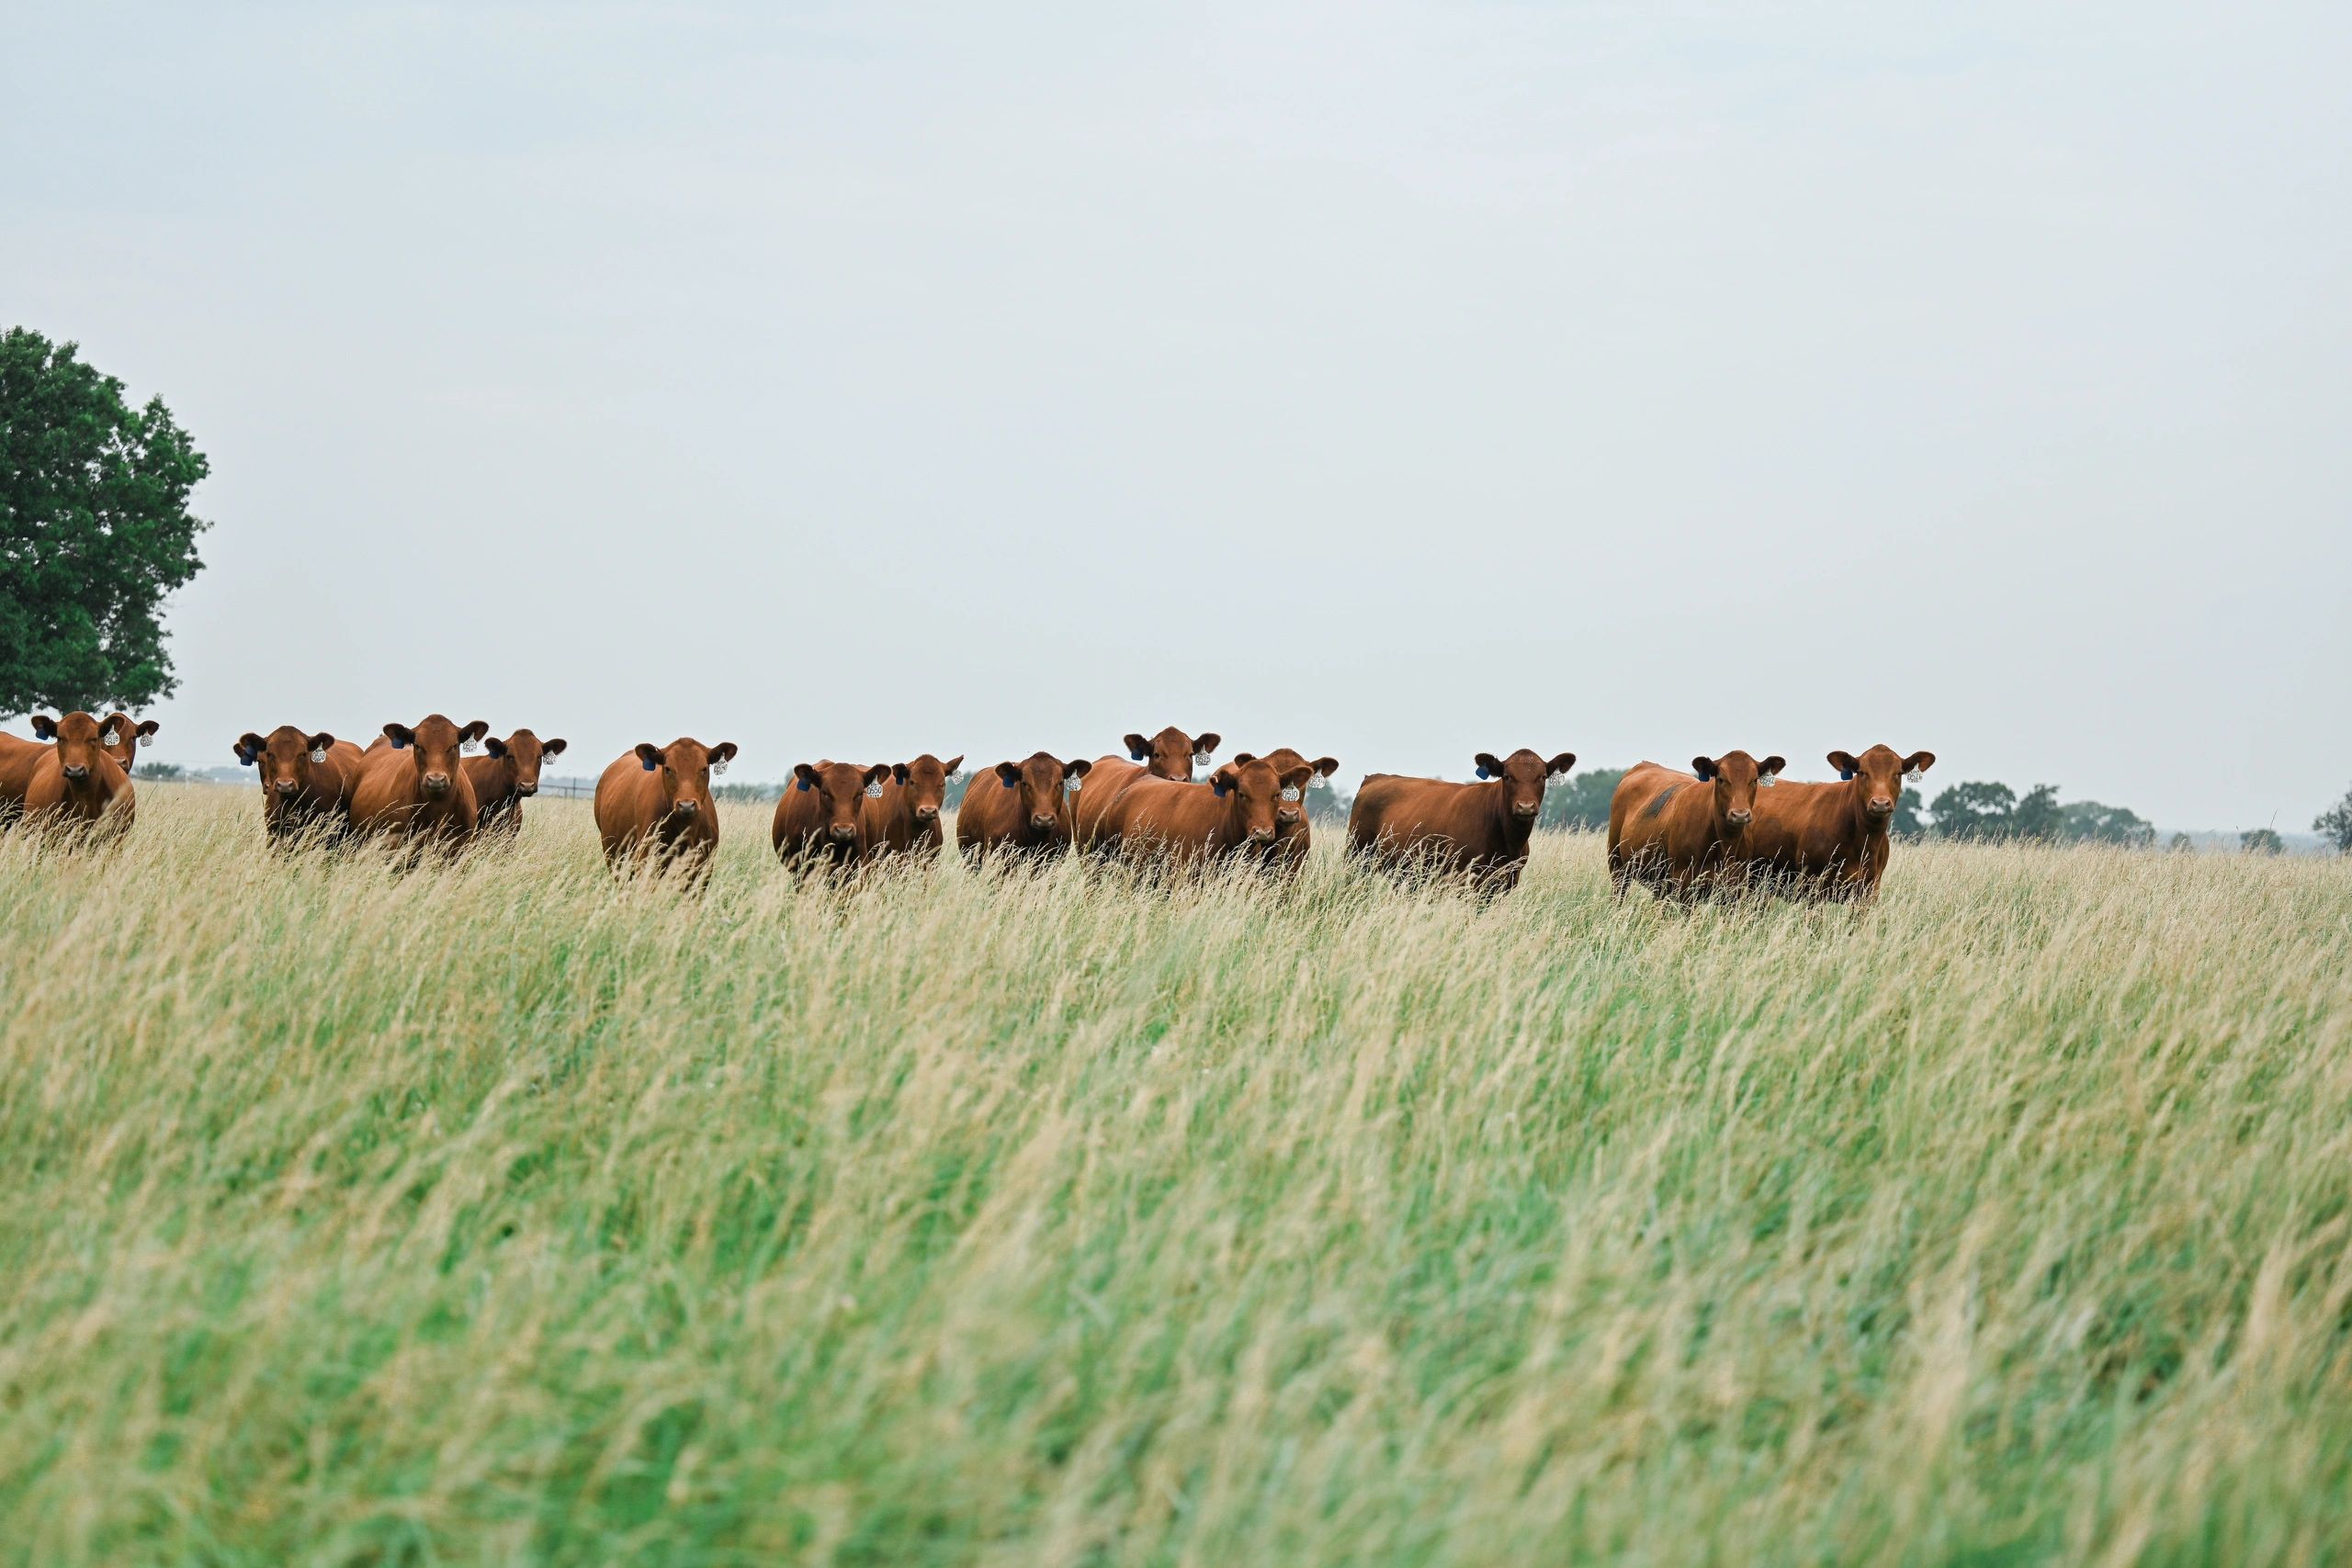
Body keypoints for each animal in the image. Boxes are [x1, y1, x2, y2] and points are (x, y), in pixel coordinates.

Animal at [595, 736, 738, 883]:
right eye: (668, 769)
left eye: (704, 768)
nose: (686, 805)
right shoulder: (646, 861)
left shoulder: (704, 869)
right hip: (613, 857)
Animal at [1347, 748, 1577, 894]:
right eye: (1507, 776)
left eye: (1542, 777)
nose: (1526, 806)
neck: (1510, 842)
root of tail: (1376, 777)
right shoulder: (1465, 879)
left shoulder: (1508, 880)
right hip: (1357, 855)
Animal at [1607, 752, 1785, 902]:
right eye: (1721, 779)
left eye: (1754, 780)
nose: (1740, 814)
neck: (1725, 845)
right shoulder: (1684, 883)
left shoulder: (1734, 888)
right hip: (1617, 865)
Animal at [1744, 745, 1936, 901]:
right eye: (1862, 772)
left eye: (1898, 773)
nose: (1880, 803)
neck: (1865, 842)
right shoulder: (1813, 885)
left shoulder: (1869, 890)